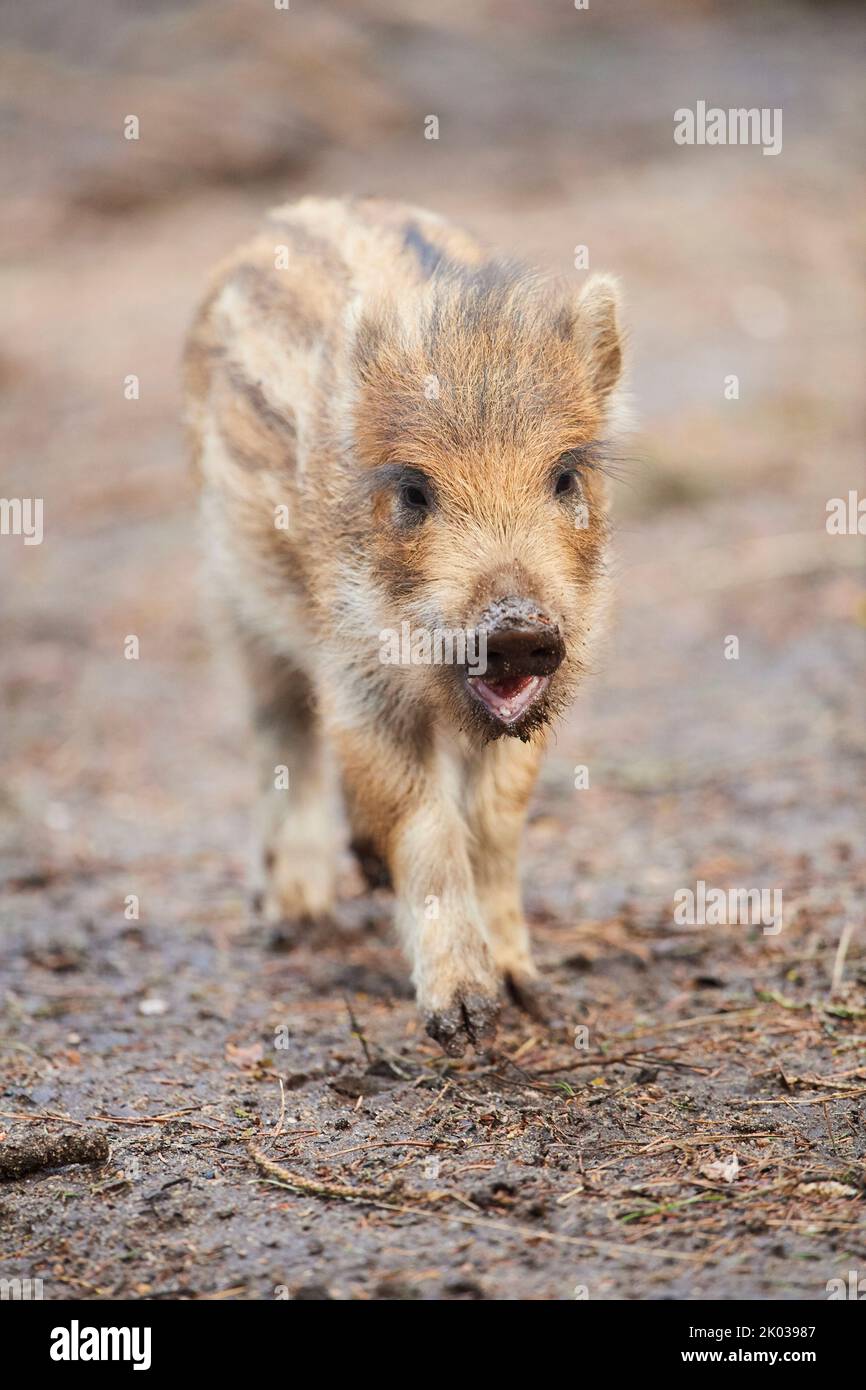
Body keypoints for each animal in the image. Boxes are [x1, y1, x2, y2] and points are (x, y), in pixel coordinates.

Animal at [183, 197, 625, 1055]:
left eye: (565, 476)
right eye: (415, 491)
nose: (515, 628)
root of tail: (286, 214)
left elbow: (493, 823)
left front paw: (528, 995)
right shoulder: (356, 677)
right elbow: (421, 820)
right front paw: (462, 1022)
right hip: (234, 603)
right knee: (280, 735)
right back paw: (297, 916)